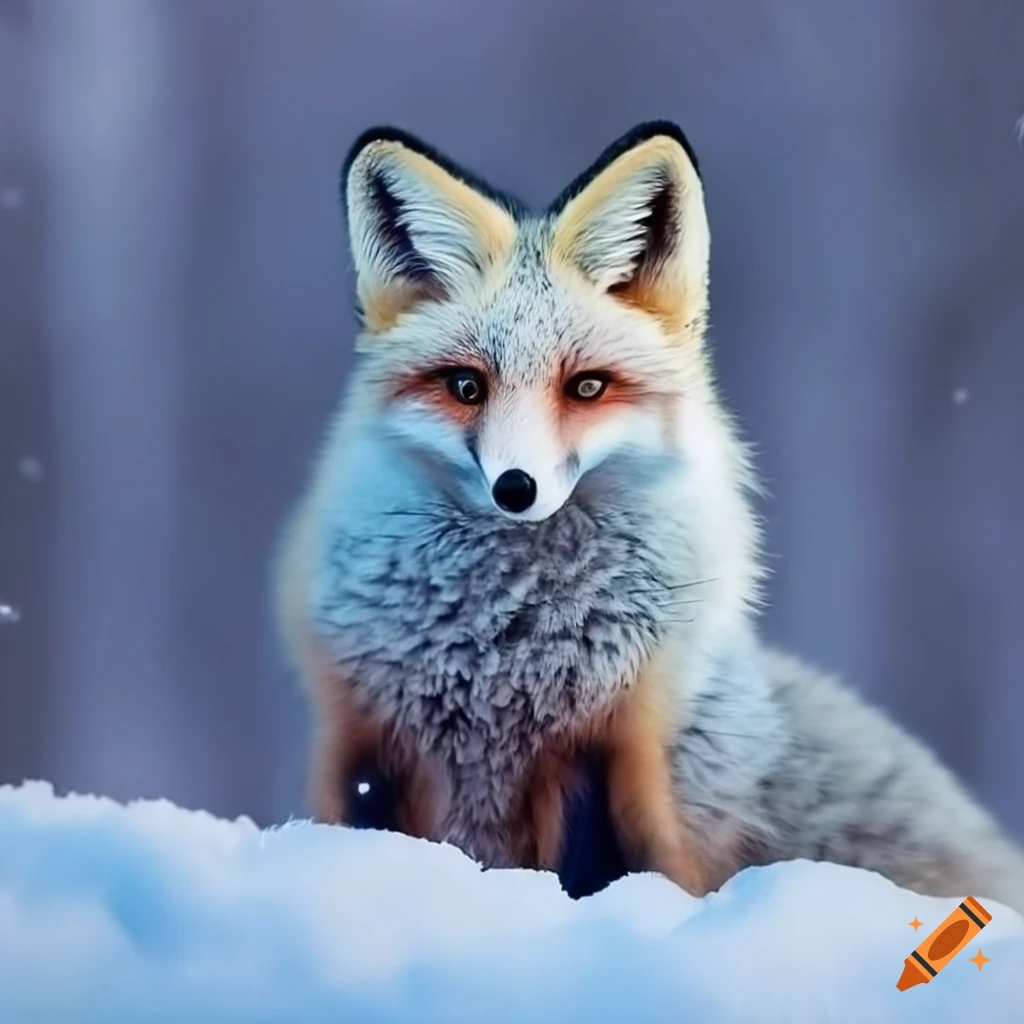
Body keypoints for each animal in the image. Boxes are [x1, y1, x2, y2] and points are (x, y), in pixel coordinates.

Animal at [273, 120, 1024, 911]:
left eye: (587, 387)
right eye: (466, 386)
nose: (516, 488)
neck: (506, 643)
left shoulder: (612, 735)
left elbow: (602, 868)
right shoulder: (366, 732)